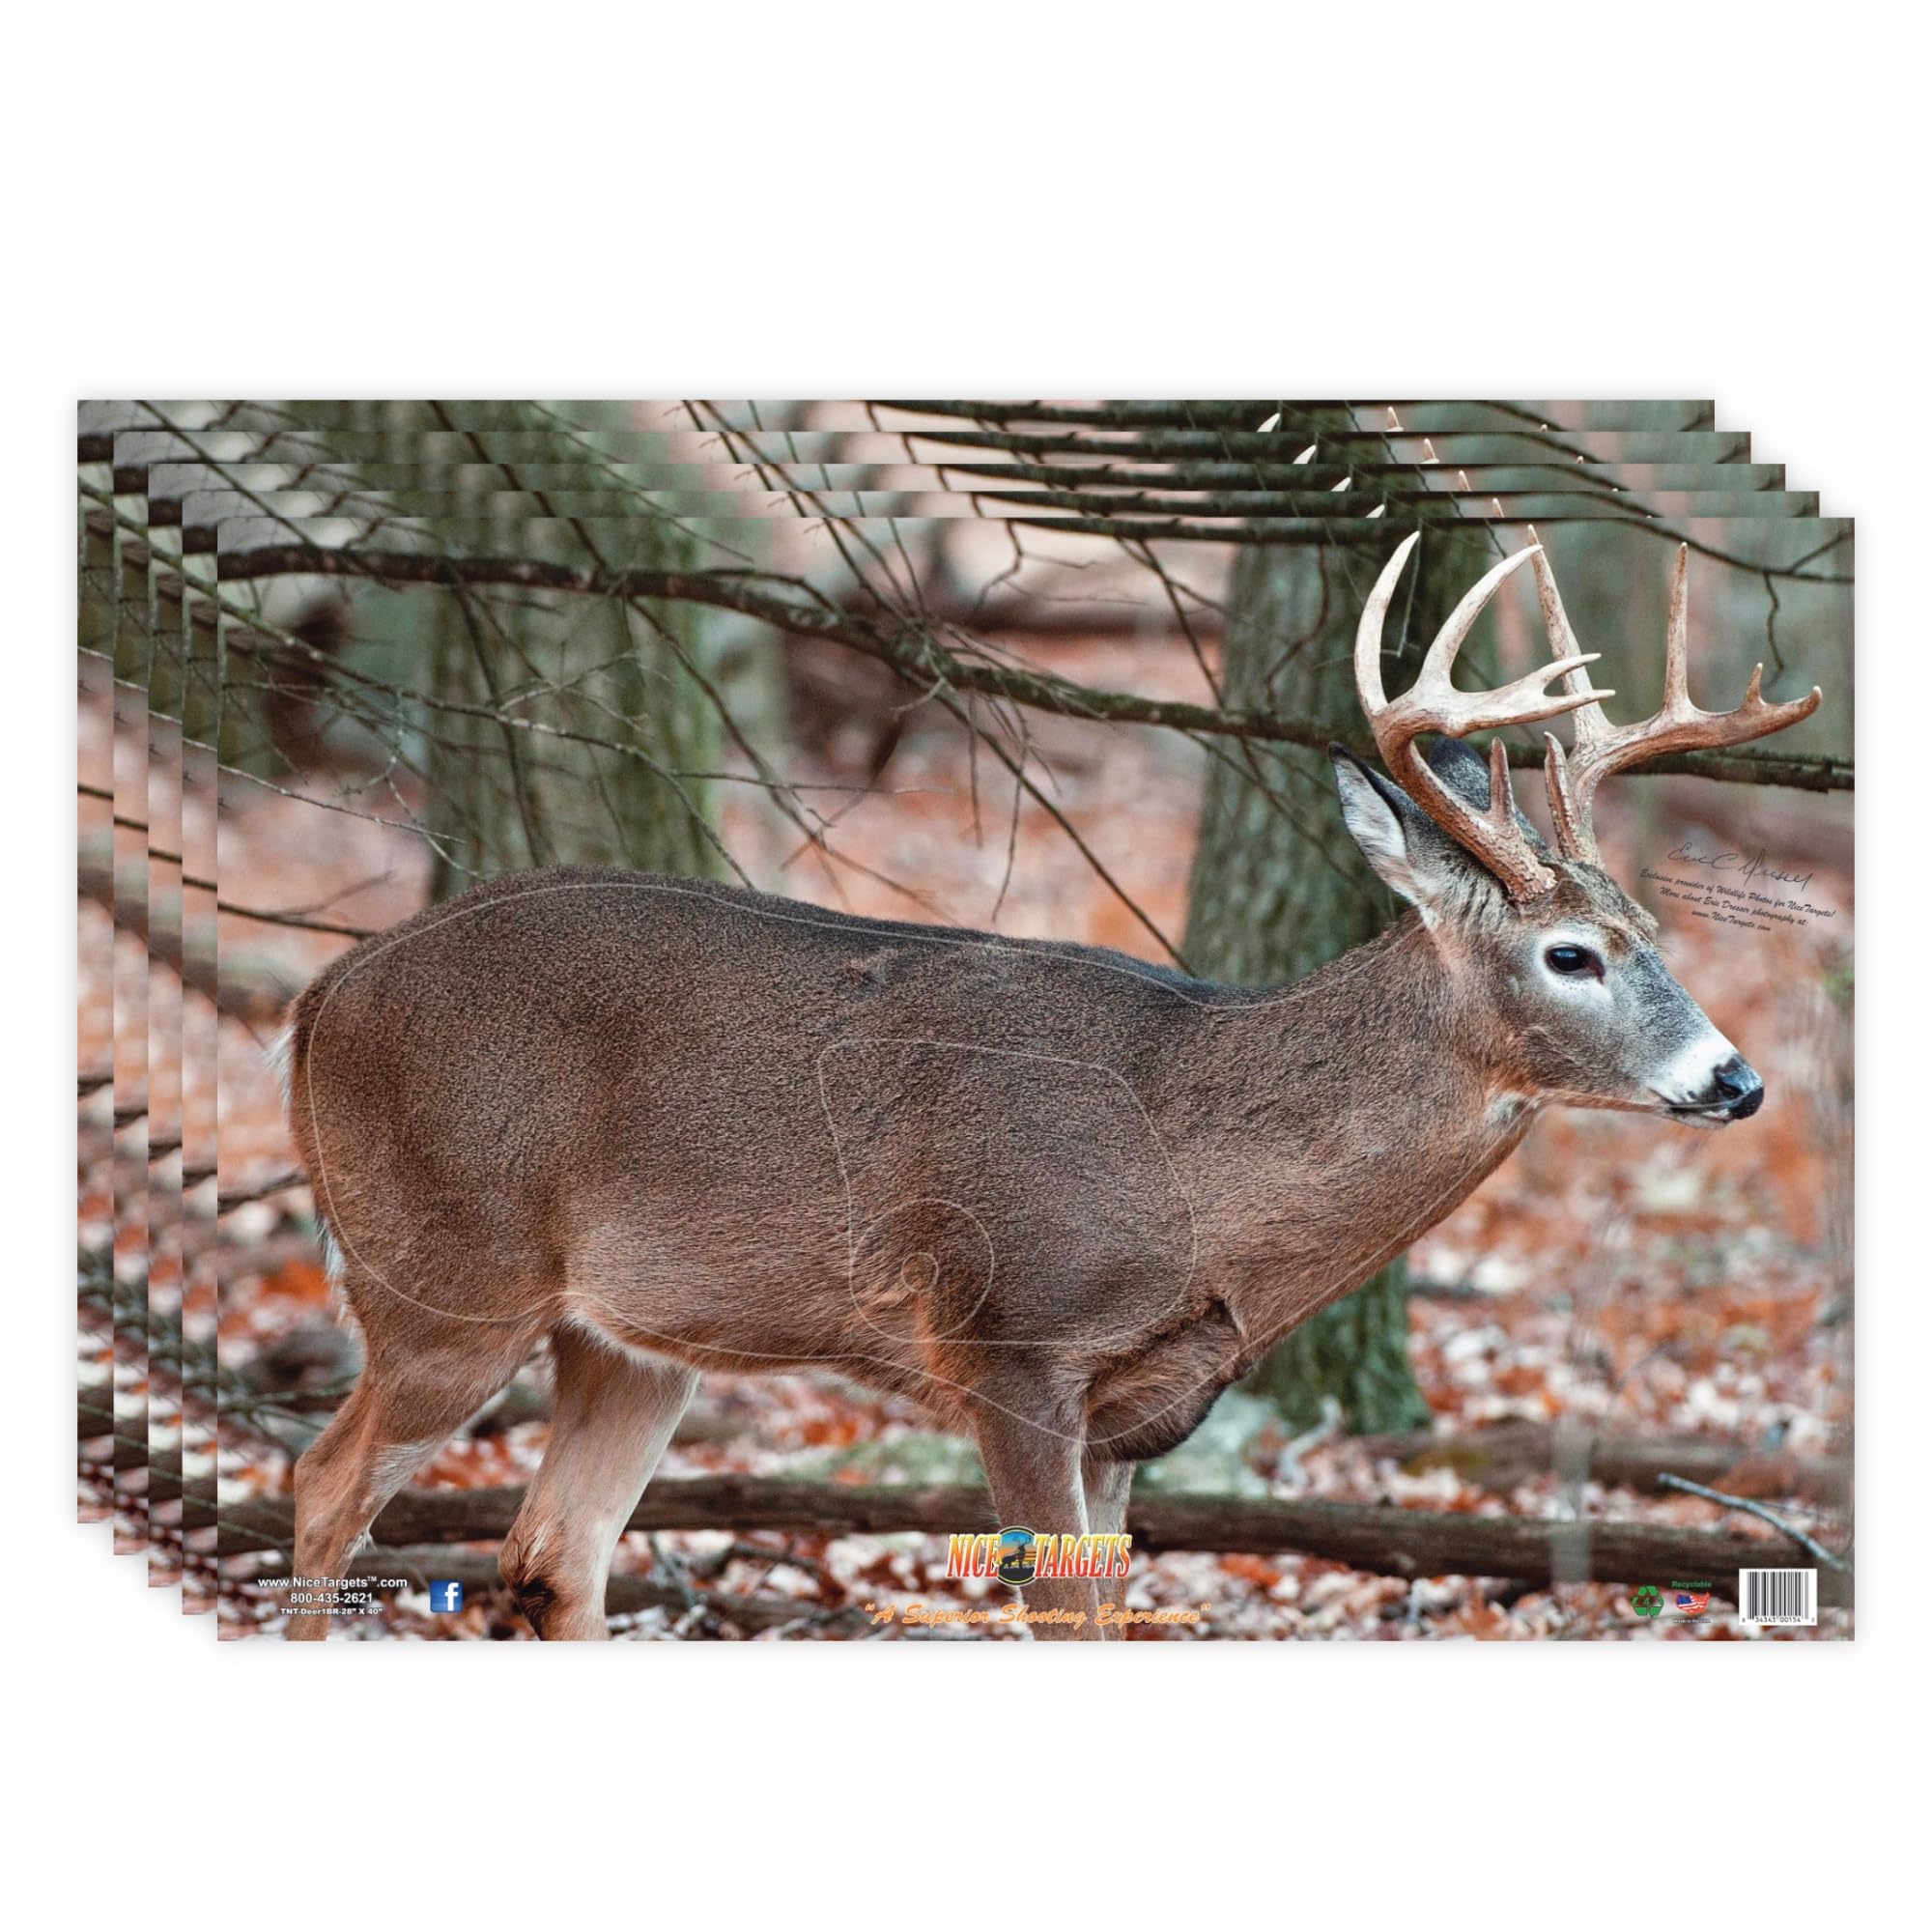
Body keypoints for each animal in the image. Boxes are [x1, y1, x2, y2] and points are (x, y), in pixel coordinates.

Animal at [278, 534, 1821, 1639]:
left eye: (1654, 930)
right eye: (1571, 953)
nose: (1735, 1078)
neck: (1197, 1181)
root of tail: (317, 998)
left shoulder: (1142, 1405)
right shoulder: (1008, 1336)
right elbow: (1065, 1613)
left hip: (633, 1334)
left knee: (551, 1556)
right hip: (442, 1269)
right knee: (322, 1483)